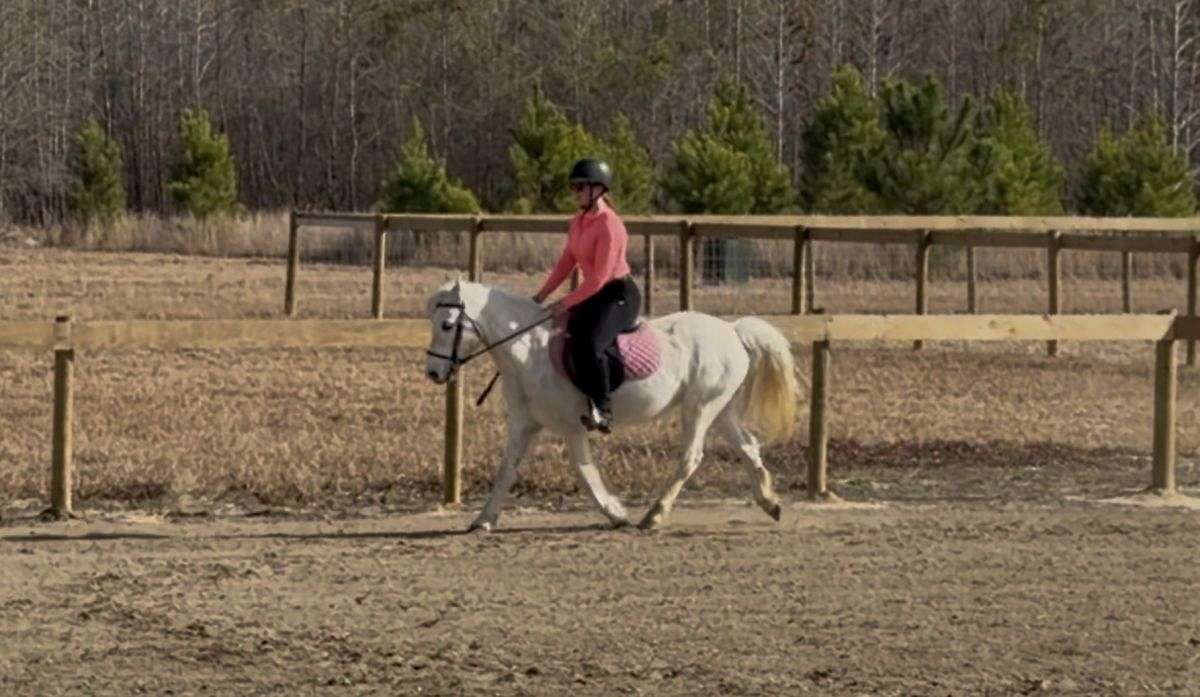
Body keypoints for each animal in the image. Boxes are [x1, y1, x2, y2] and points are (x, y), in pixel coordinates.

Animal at [423, 280, 799, 531]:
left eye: (447, 324)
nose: (433, 373)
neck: (529, 350)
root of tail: (732, 330)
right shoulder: (524, 424)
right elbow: (507, 468)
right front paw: (483, 520)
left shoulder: (572, 425)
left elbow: (583, 470)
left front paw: (616, 513)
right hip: (721, 410)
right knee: (748, 446)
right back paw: (770, 503)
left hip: (700, 408)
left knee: (691, 457)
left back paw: (653, 515)